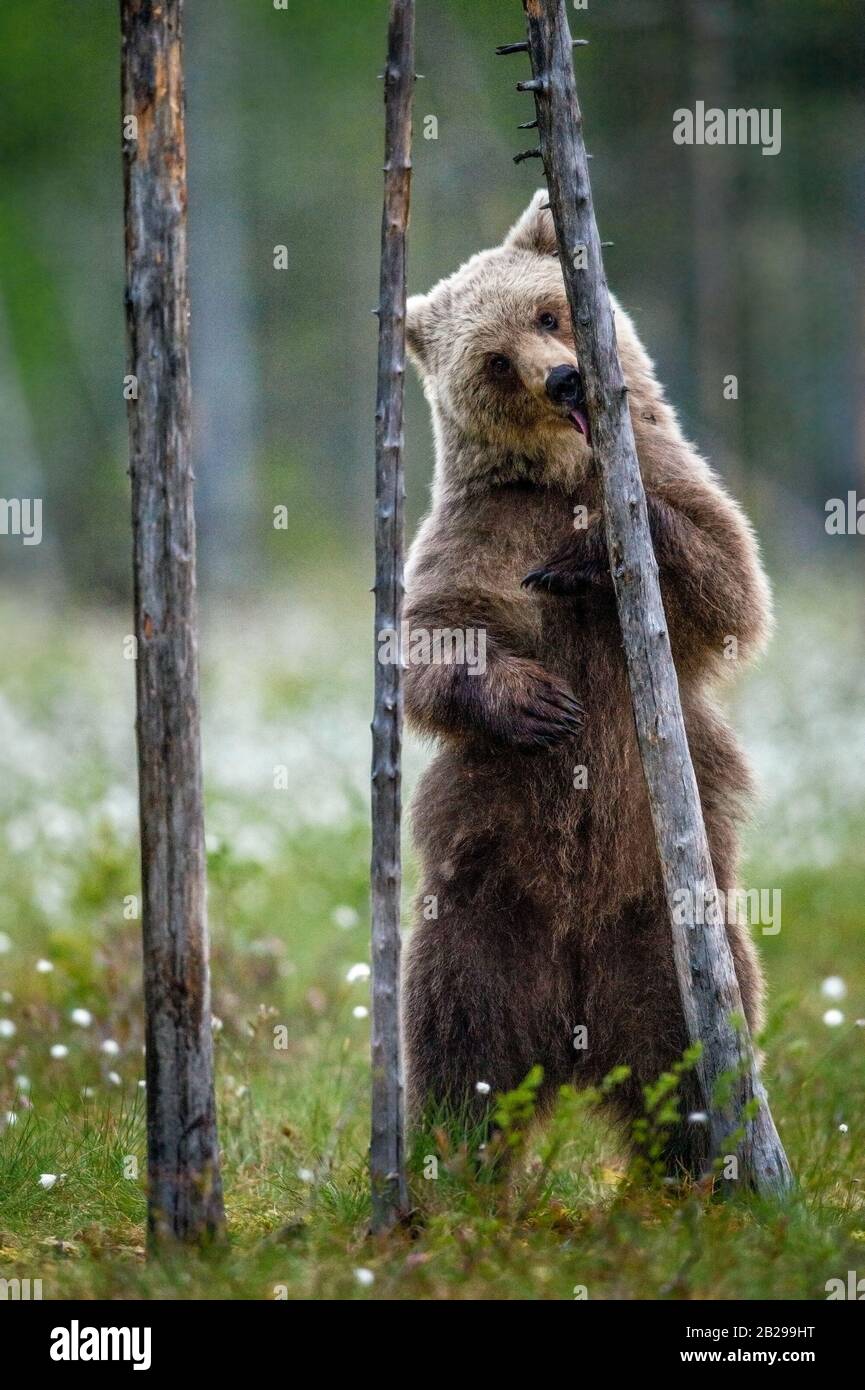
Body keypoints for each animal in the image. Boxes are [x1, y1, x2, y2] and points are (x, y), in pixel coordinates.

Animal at [400, 190, 772, 1177]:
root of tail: (571, 1030)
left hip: (664, 938)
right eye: (493, 360)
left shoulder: (670, 477)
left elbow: (730, 582)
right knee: (458, 1049)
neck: (564, 475)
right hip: (477, 919)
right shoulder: (474, 532)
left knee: (689, 1065)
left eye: (548, 312)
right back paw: (454, 1169)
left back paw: (701, 1173)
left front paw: (588, 556)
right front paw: (536, 700)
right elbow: (430, 642)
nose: (566, 381)